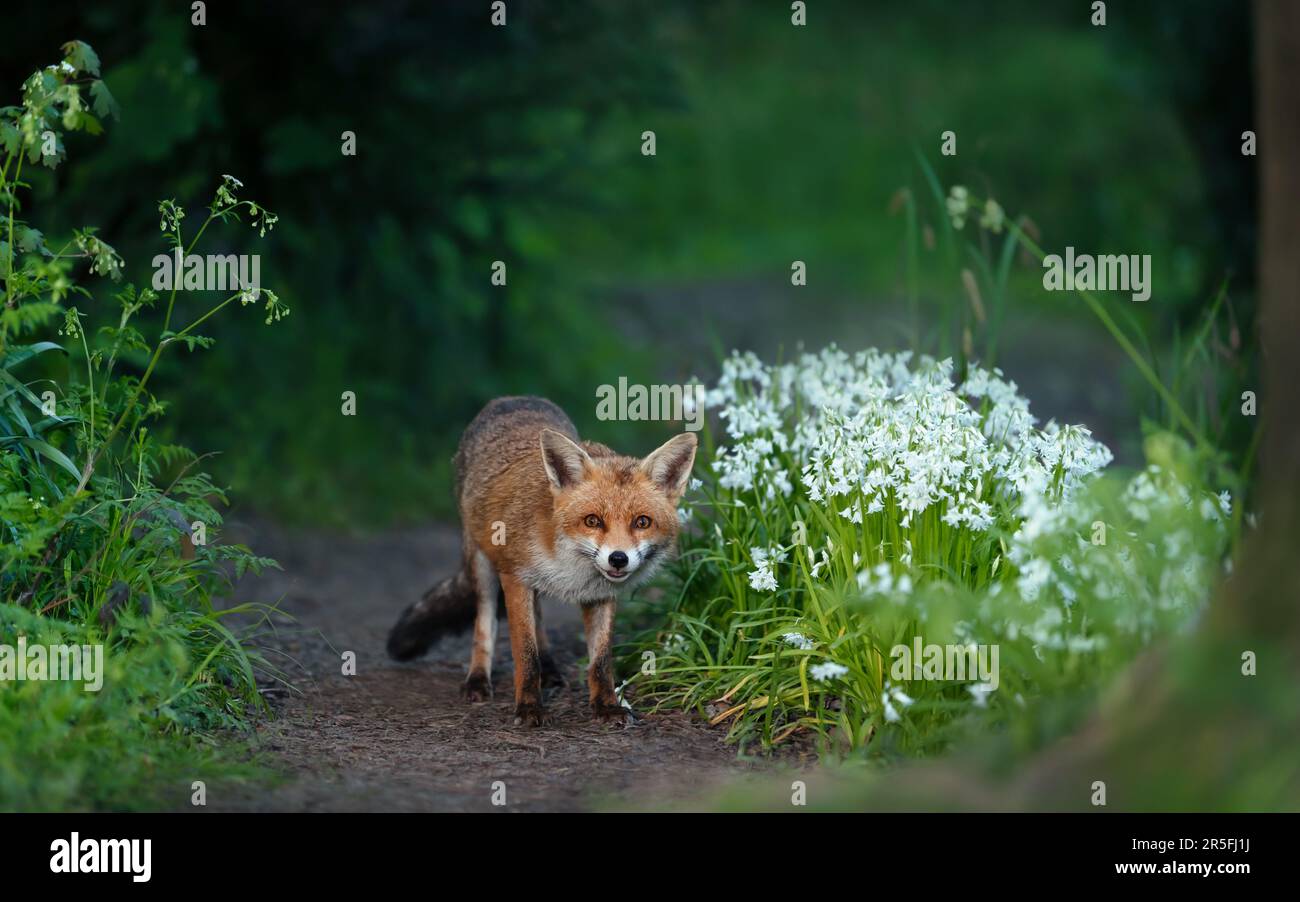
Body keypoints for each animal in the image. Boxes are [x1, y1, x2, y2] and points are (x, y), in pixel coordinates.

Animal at [386, 396, 697, 727]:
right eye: (592, 521)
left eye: (642, 522)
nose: (618, 559)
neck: (572, 566)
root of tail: (512, 399)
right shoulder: (515, 578)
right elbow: (525, 653)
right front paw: (529, 707)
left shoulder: (600, 595)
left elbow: (600, 662)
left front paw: (606, 706)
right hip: (483, 566)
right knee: (484, 624)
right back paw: (478, 679)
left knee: (539, 623)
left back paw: (549, 669)